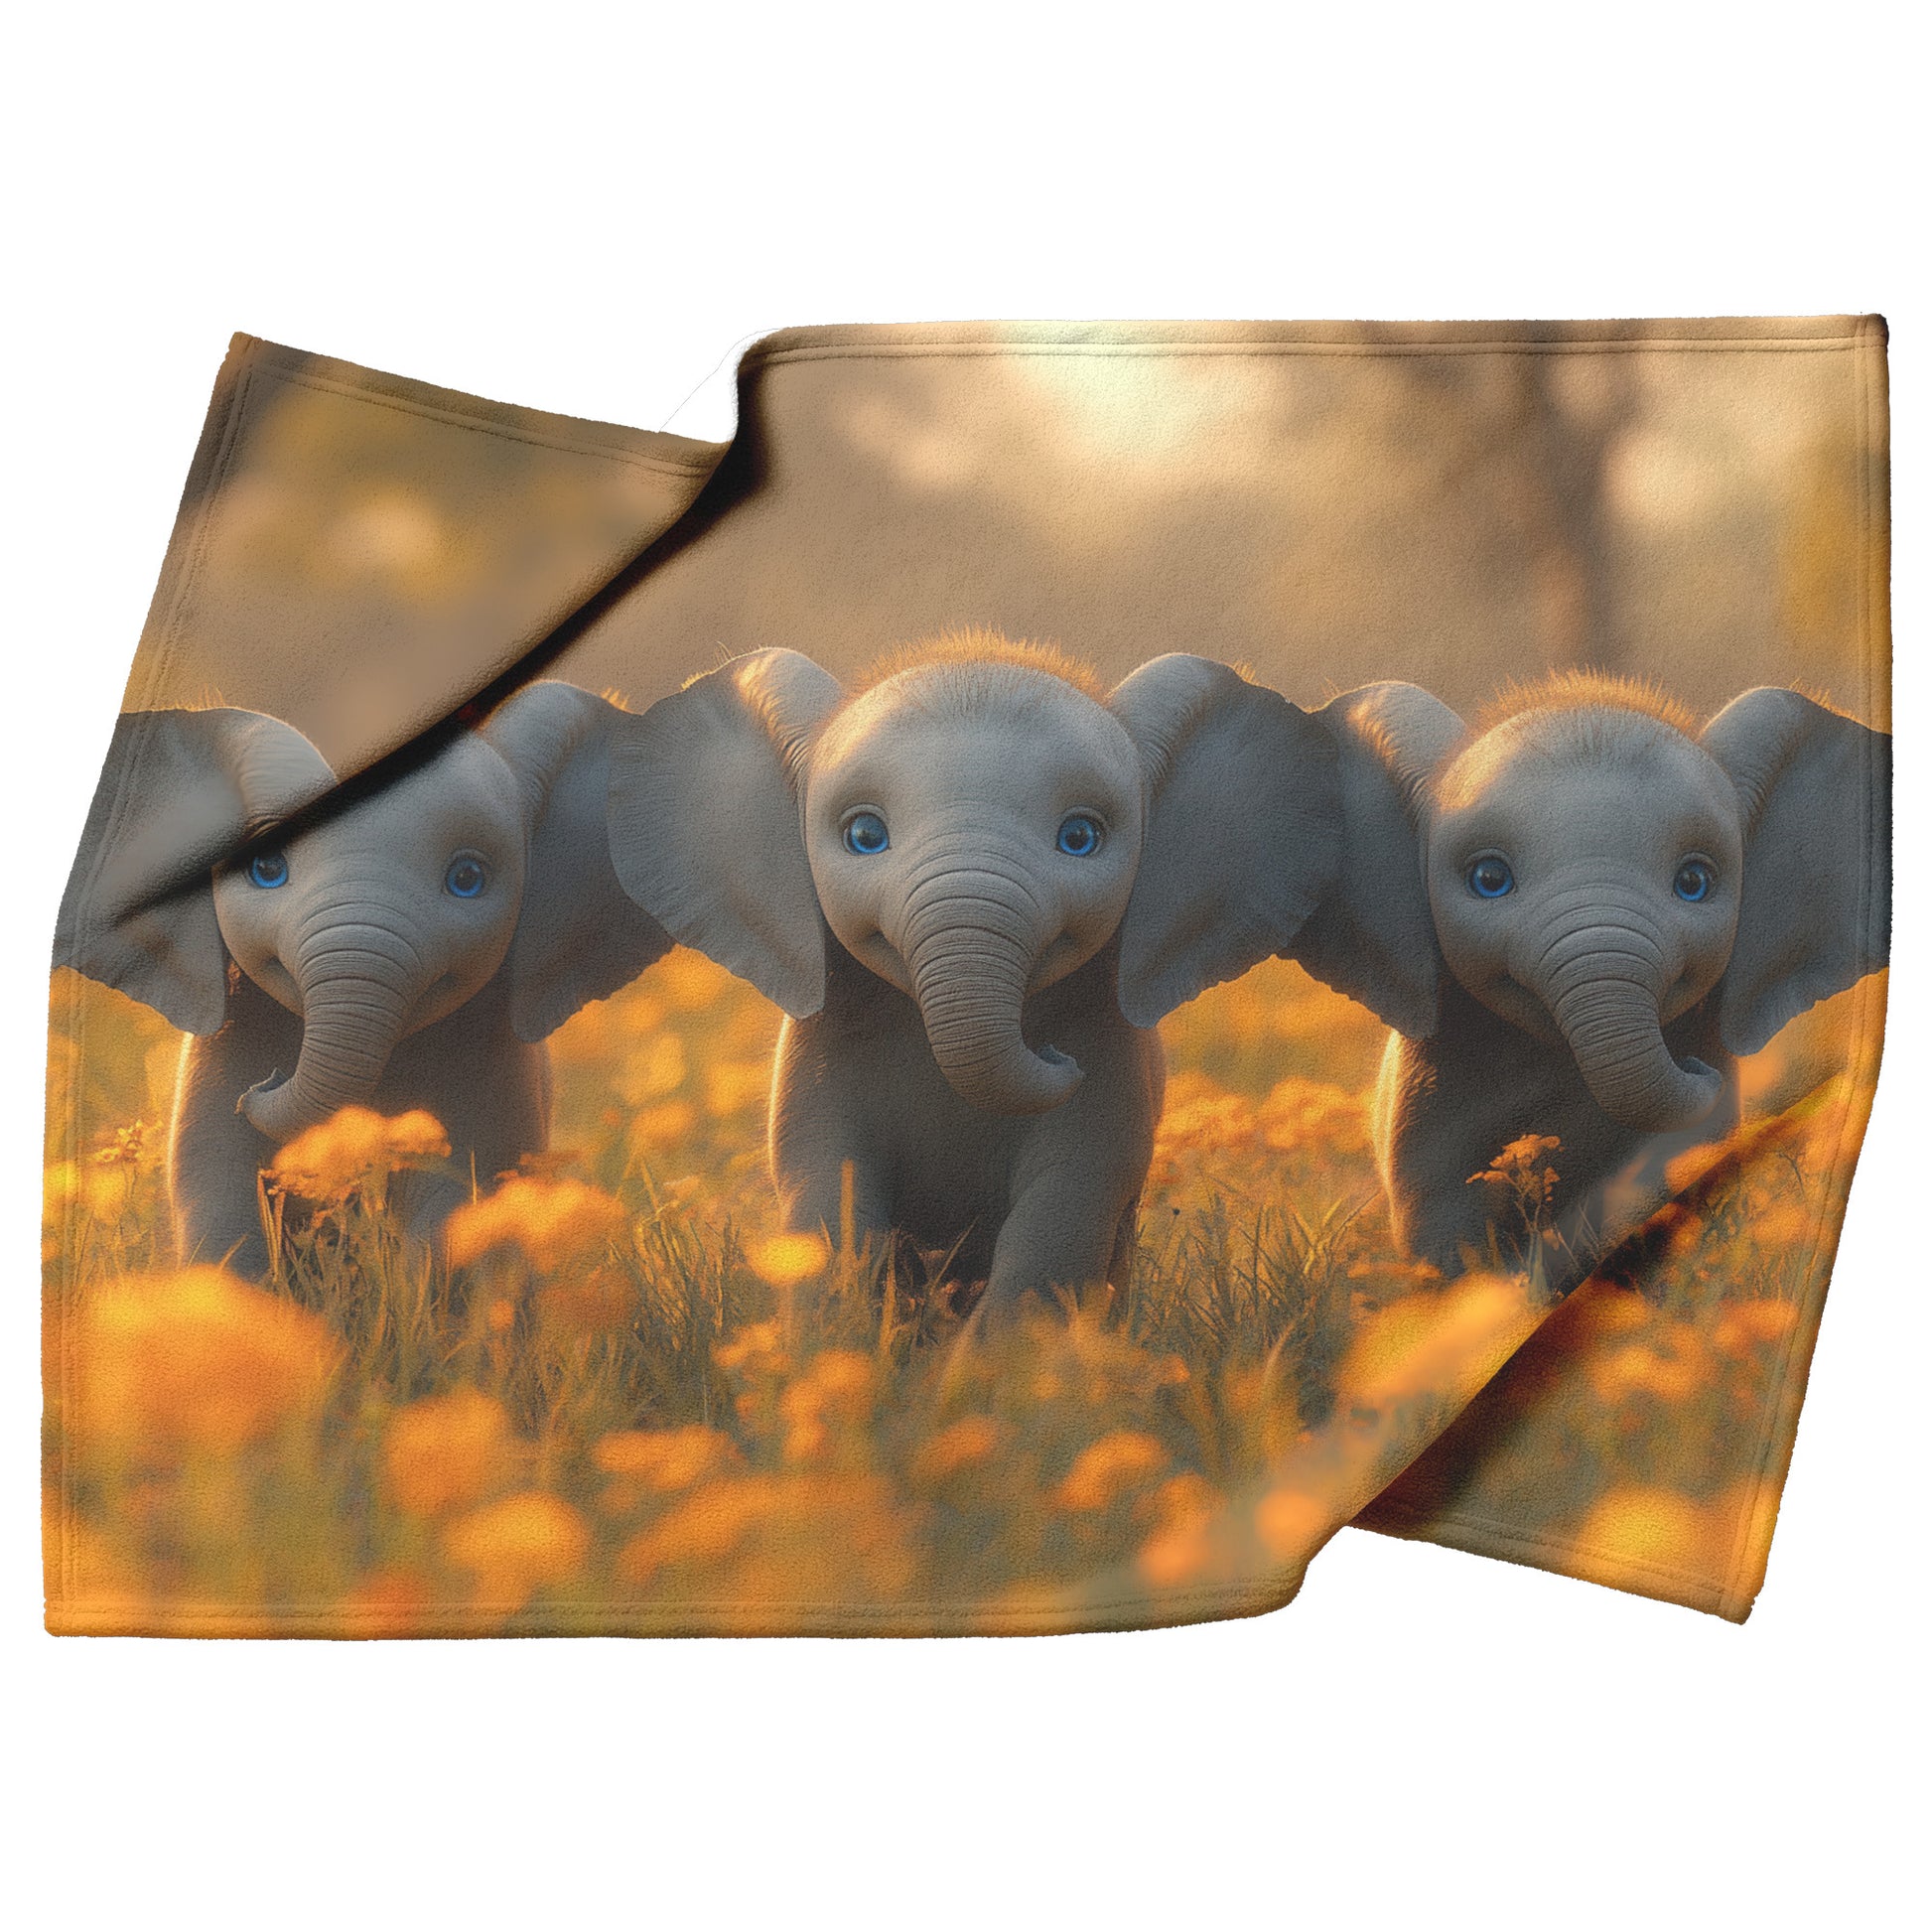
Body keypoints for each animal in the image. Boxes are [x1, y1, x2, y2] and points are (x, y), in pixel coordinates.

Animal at [605, 633, 1358, 1316]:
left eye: (1080, 838)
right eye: (864, 836)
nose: (1055, 1054)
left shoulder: (1112, 1058)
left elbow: (1068, 1202)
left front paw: (1005, 1374)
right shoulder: (819, 1049)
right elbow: (826, 1184)